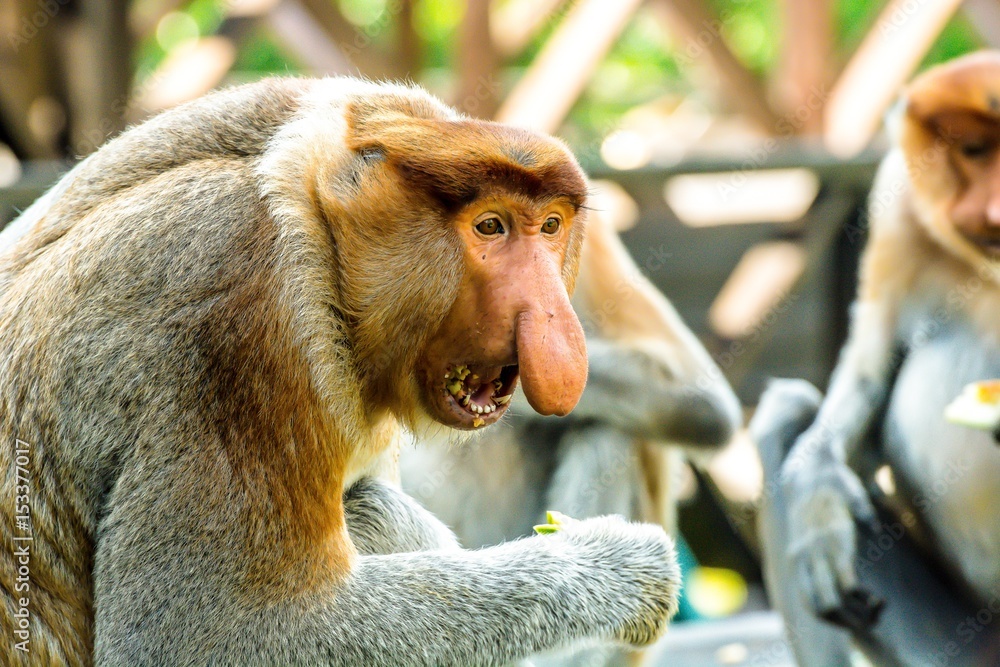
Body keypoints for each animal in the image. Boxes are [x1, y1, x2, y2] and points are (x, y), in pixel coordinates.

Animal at [0, 77, 682, 666]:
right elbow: (203, 636)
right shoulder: (229, 315)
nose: (554, 323)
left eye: (550, 227)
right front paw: (619, 566)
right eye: (491, 226)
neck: (316, 229)